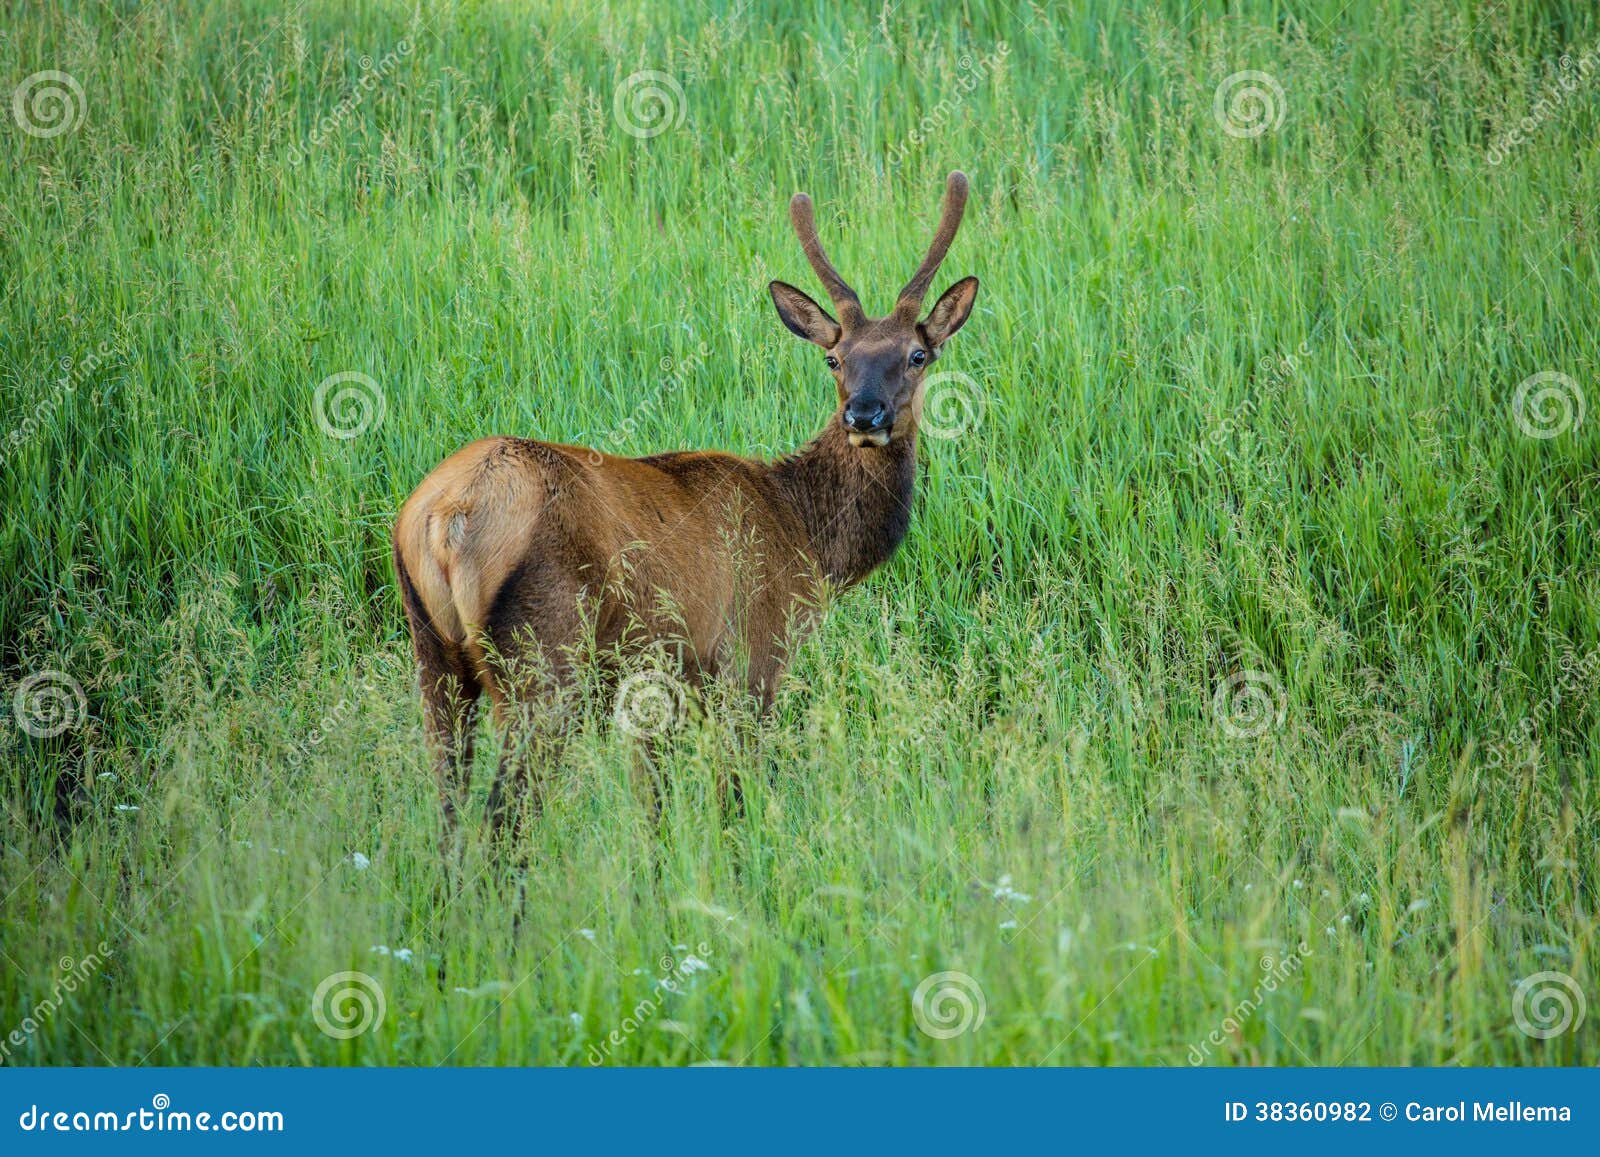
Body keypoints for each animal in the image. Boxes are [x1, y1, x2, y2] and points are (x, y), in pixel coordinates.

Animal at [393, 172, 979, 848]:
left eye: (917, 355)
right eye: (835, 358)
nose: (864, 414)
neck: (809, 539)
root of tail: (442, 520)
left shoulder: (668, 681)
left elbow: (655, 806)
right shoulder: (752, 657)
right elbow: (734, 798)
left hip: (433, 657)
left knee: (447, 812)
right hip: (543, 657)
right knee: (504, 816)